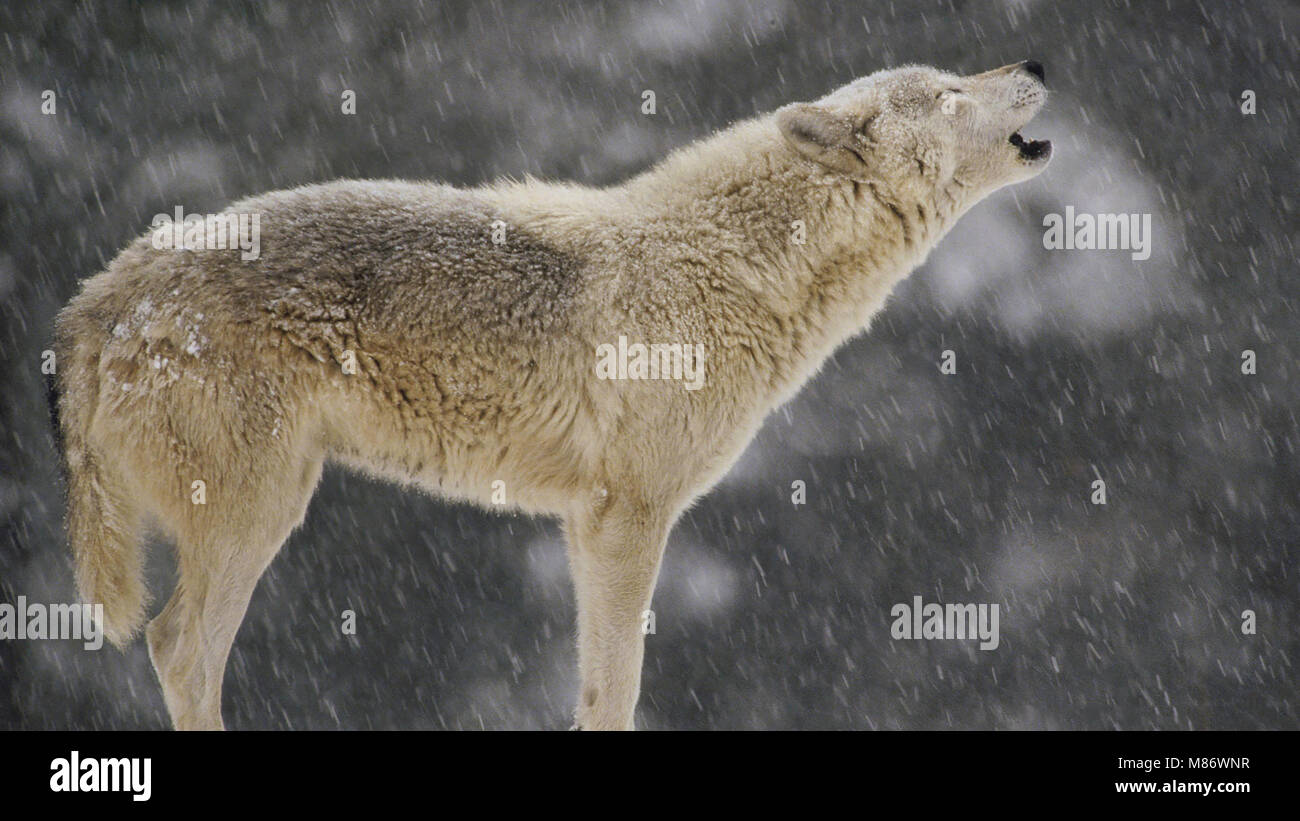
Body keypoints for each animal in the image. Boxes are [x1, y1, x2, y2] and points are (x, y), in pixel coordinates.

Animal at [52, 61, 1051, 730]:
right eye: (951, 93)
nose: (1035, 64)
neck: (731, 266)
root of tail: (101, 296)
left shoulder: (585, 521)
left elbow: (594, 688)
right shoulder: (630, 515)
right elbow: (621, 689)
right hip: (257, 513)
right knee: (180, 650)